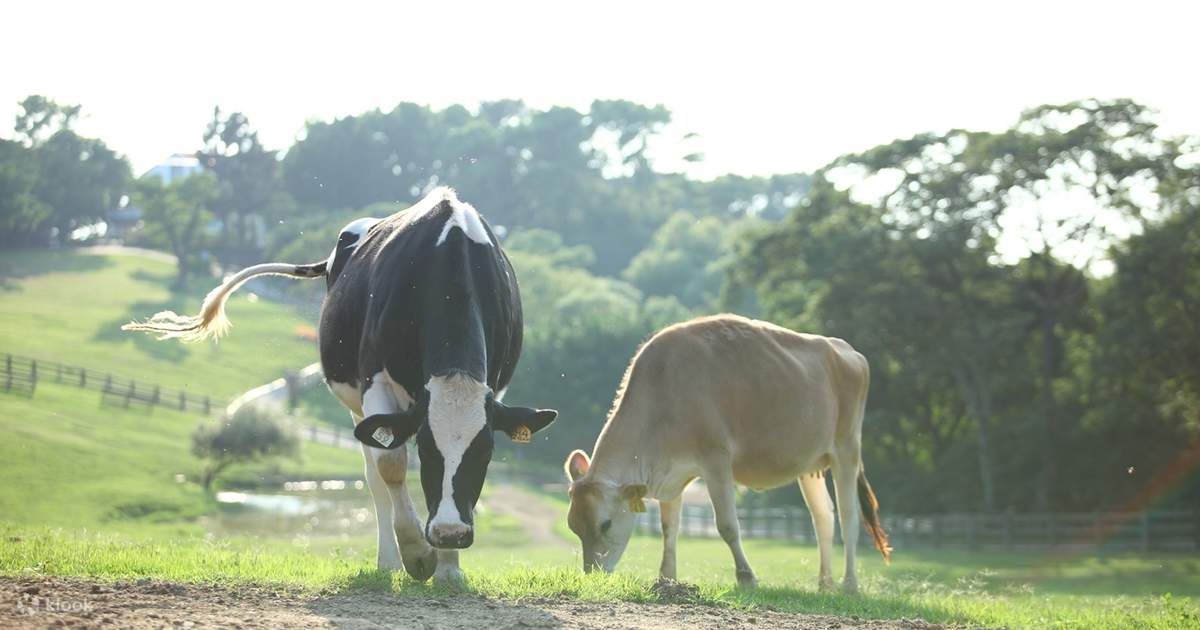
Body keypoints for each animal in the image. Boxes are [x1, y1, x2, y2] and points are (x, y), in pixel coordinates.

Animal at [124, 187, 558, 583]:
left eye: (485, 452)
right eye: (427, 449)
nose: (450, 533)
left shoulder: (493, 390)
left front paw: (450, 569)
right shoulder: (373, 383)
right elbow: (392, 466)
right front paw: (417, 553)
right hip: (358, 406)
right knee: (374, 474)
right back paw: (389, 560)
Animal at [563, 314, 890, 593]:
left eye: (605, 523)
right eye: (573, 526)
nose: (592, 574)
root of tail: (847, 350)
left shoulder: (716, 459)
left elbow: (728, 525)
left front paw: (747, 577)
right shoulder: (671, 472)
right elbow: (669, 528)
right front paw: (667, 578)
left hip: (847, 448)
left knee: (849, 516)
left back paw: (849, 585)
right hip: (811, 463)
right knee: (823, 517)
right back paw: (824, 584)